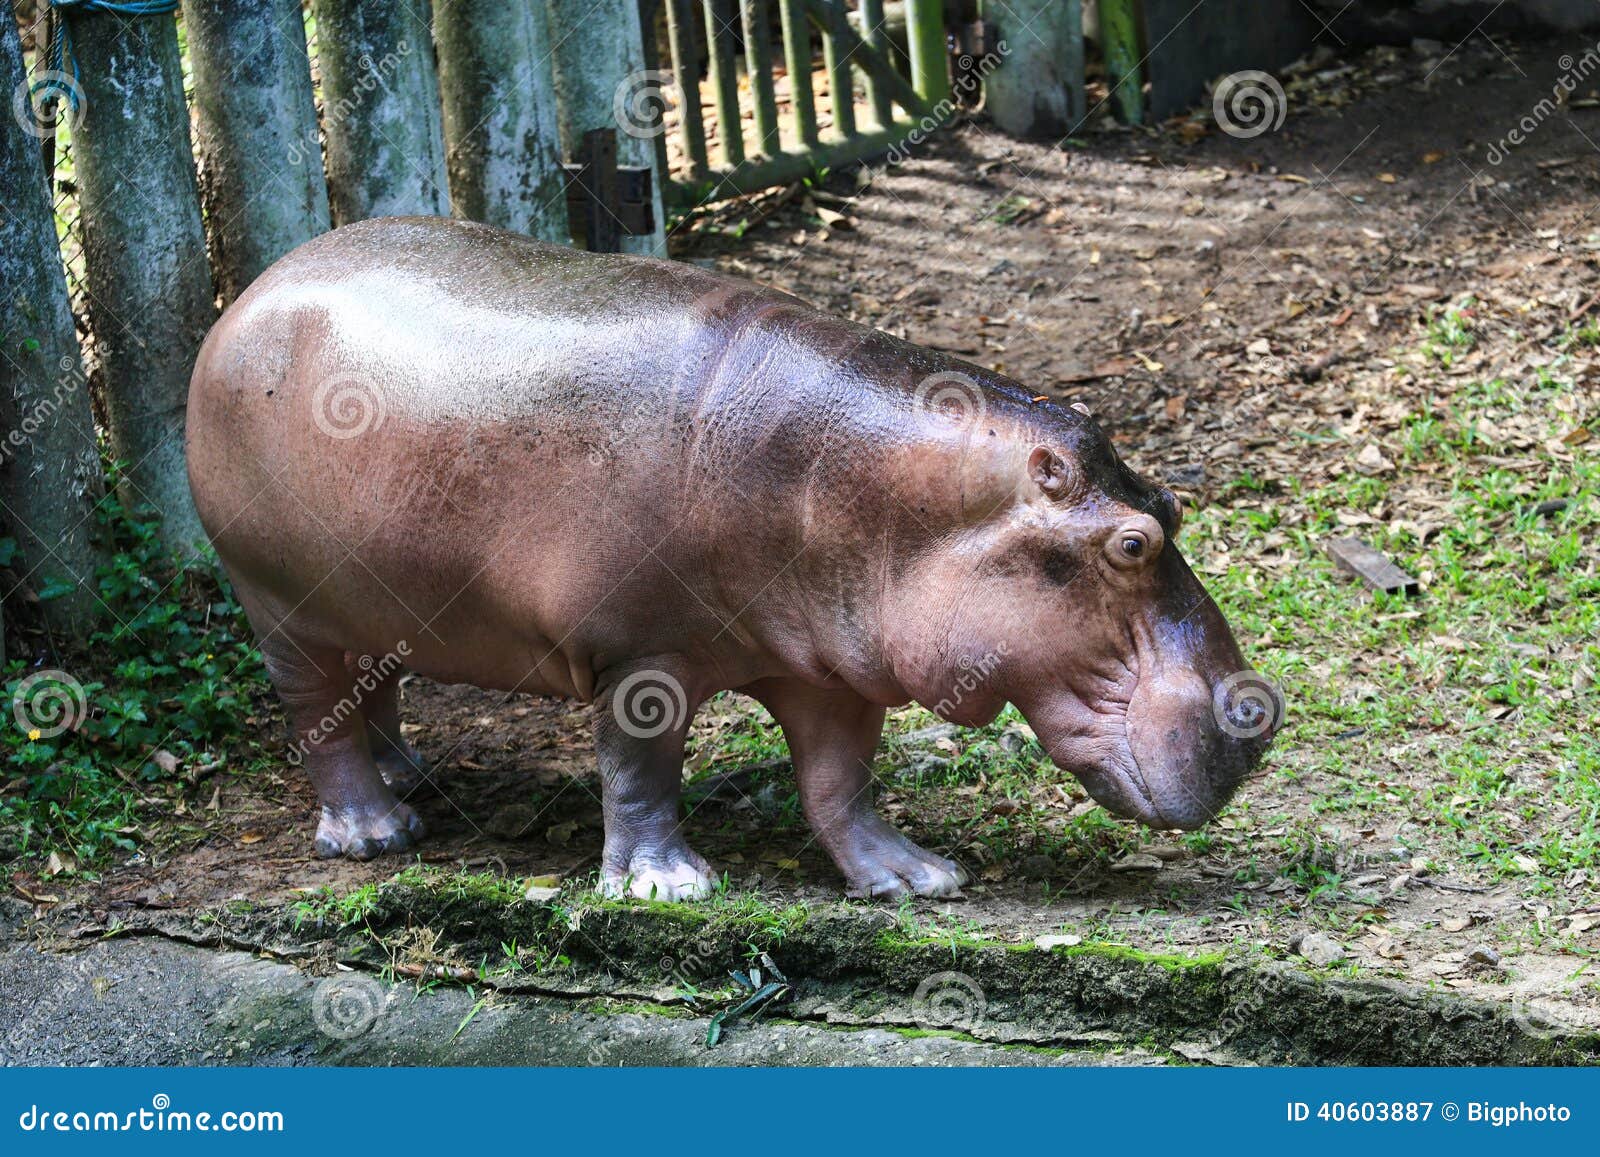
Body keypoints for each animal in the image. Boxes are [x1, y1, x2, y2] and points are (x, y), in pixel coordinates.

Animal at [186, 216, 1276, 901]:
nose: (1257, 712)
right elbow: (640, 769)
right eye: (1131, 543)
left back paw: (407, 774)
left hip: (369, 595)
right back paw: (376, 831)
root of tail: (251, 290)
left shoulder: (834, 669)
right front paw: (668, 886)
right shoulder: (639, 655)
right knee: (316, 715)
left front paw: (916, 876)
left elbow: (841, 781)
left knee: (370, 684)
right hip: (277, 601)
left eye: (1171, 505)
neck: (865, 483)